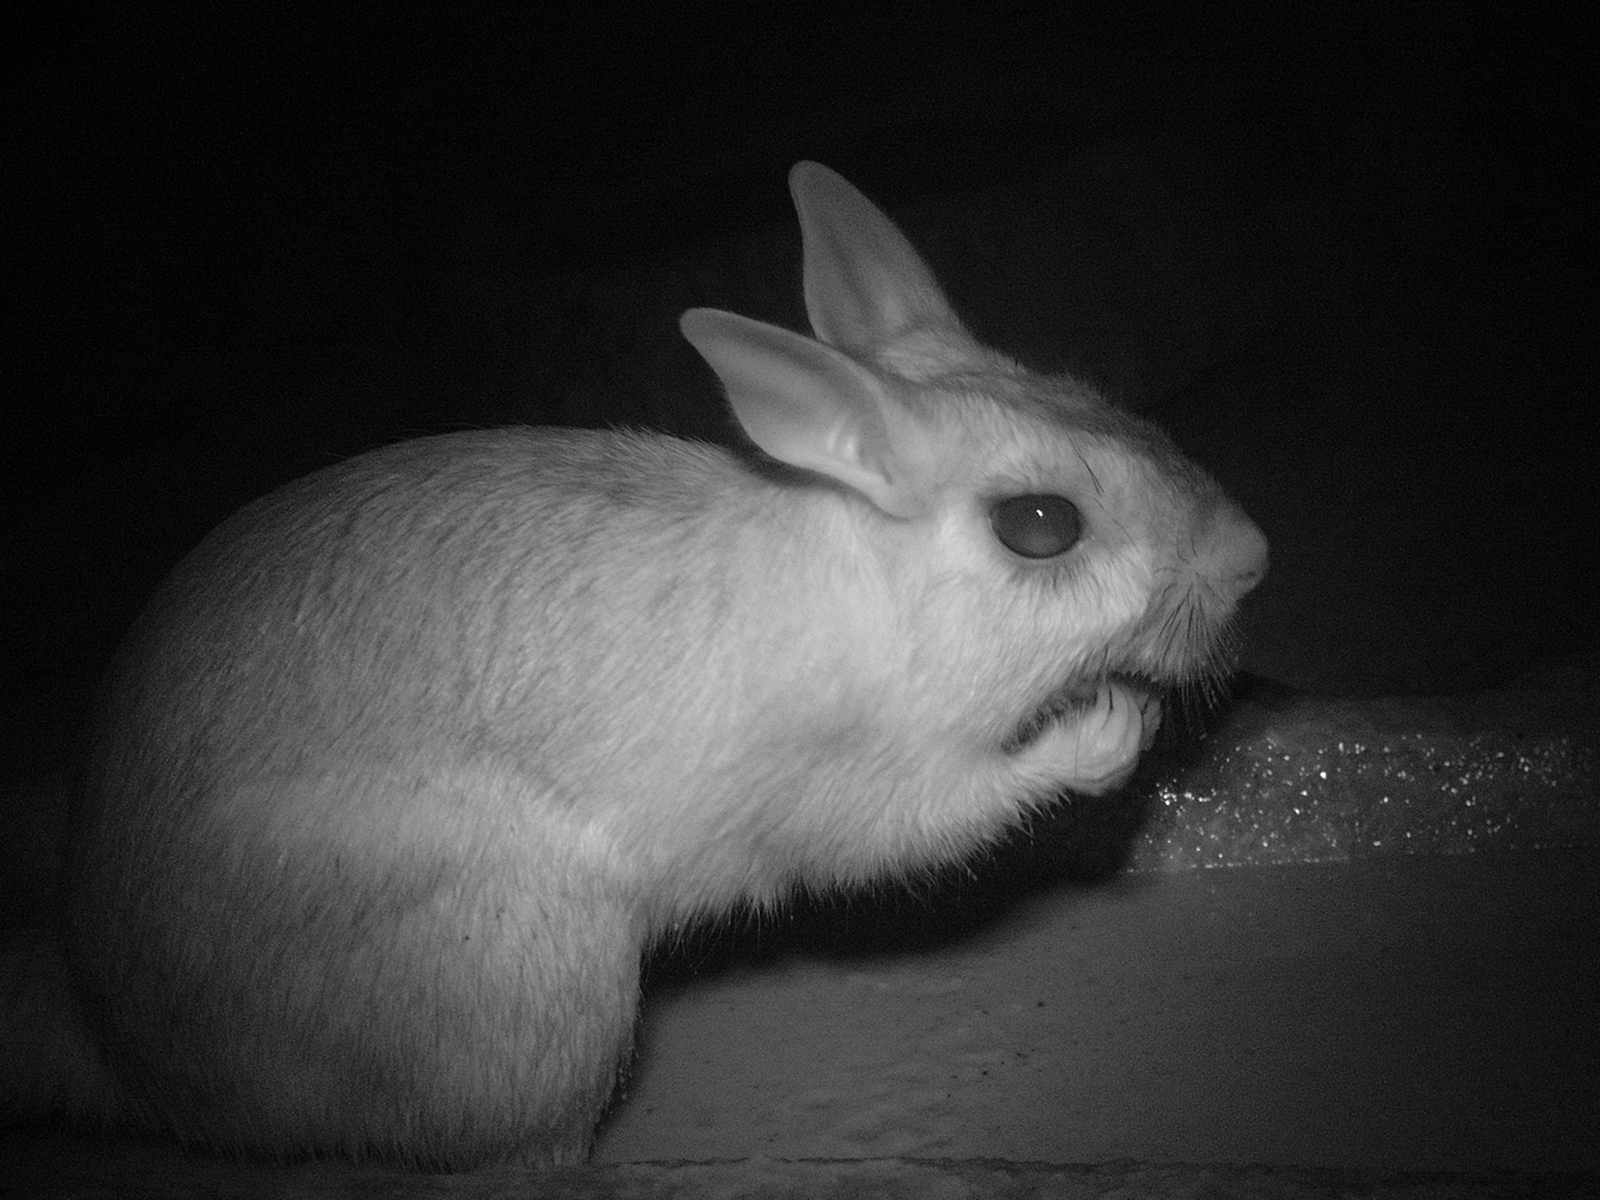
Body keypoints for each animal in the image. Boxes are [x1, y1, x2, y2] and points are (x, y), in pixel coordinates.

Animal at [4, 161, 1267, 1169]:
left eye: (1089, 393)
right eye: (1040, 526)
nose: (1255, 556)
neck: (851, 561)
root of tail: (125, 1055)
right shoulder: (858, 795)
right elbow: (970, 798)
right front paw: (1113, 728)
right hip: (541, 990)